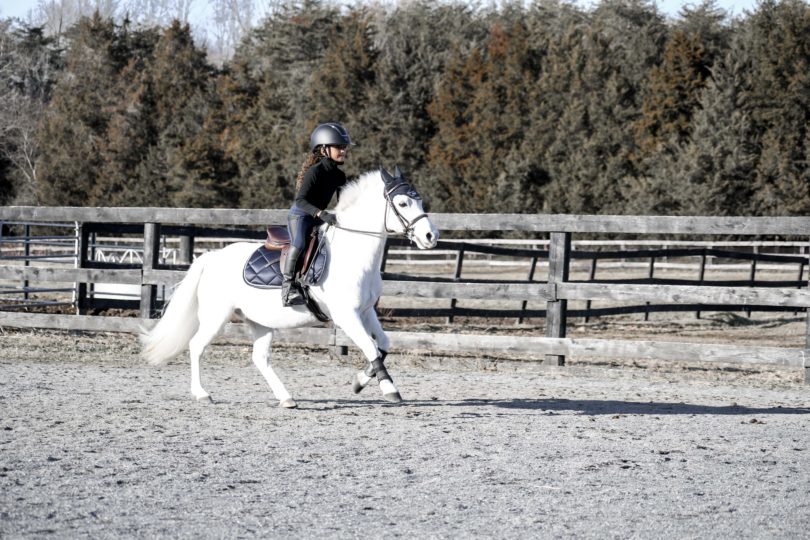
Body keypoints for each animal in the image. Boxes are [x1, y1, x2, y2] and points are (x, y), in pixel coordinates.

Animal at [140, 167, 439, 408]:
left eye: (419, 199)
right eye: (402, 202)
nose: (431, 236)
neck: (353, 253)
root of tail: (211, 257)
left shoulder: (366, 312)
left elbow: (383, 345)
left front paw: (359, 382)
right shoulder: (347, 316)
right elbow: (371, 348)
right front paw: (390, 390)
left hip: (259, 321)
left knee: (260, 358)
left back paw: (286, 398)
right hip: (217, 316)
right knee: (196, 346)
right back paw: (202, 394)